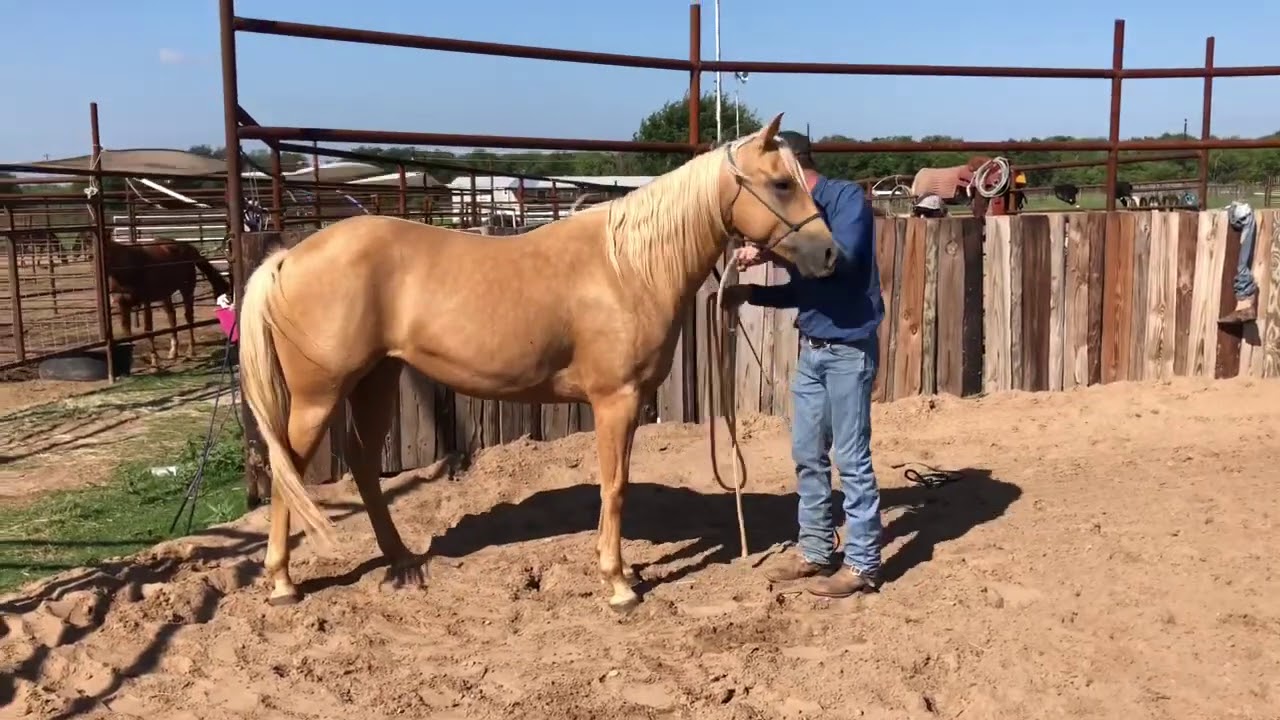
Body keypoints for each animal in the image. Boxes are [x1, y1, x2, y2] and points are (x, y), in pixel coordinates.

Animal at [236, 113, 838, 612]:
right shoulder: (616, 400)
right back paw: (283, 583)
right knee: (289, 470)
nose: (832, 254)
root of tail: (288, 257)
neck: (628, 267)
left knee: (361, 464)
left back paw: (400, 559)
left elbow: (616, 485)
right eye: (781, 184)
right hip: (318, 397)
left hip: (375, 379)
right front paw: (618, 585)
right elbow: (614, 486)